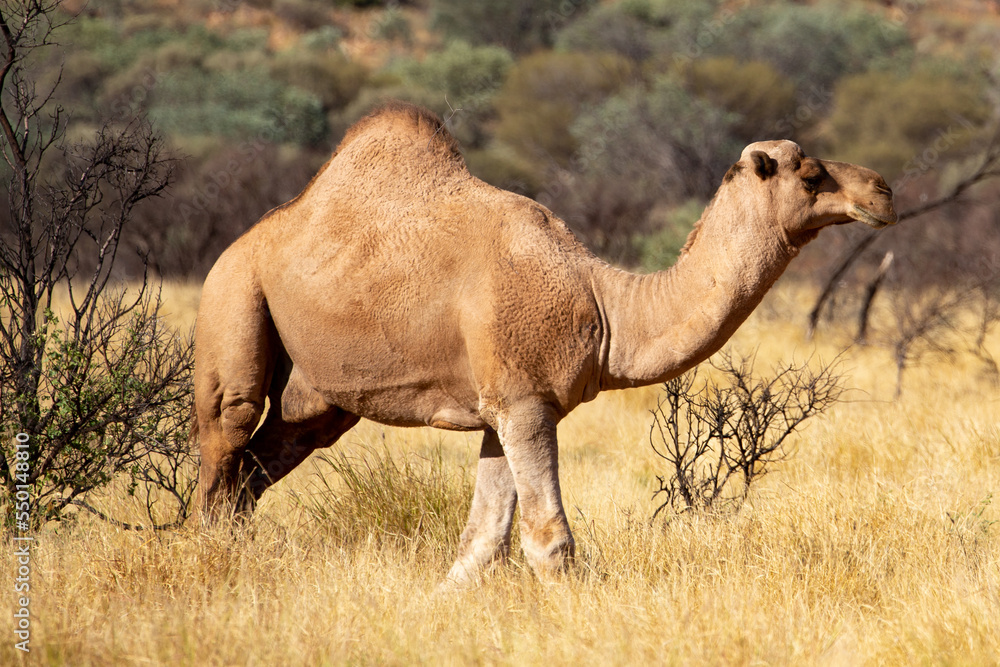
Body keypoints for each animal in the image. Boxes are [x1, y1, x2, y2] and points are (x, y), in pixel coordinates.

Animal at [193, 102, 895, 584]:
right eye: (811, 174)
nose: (884, 190)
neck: (604, 306)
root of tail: (245, 239)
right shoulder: (524, 404)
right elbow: (548, 538)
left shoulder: (506, 408)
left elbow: (482, 542)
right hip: (234, 296)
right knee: (225, 443)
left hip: (319, 398)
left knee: (259, 466)